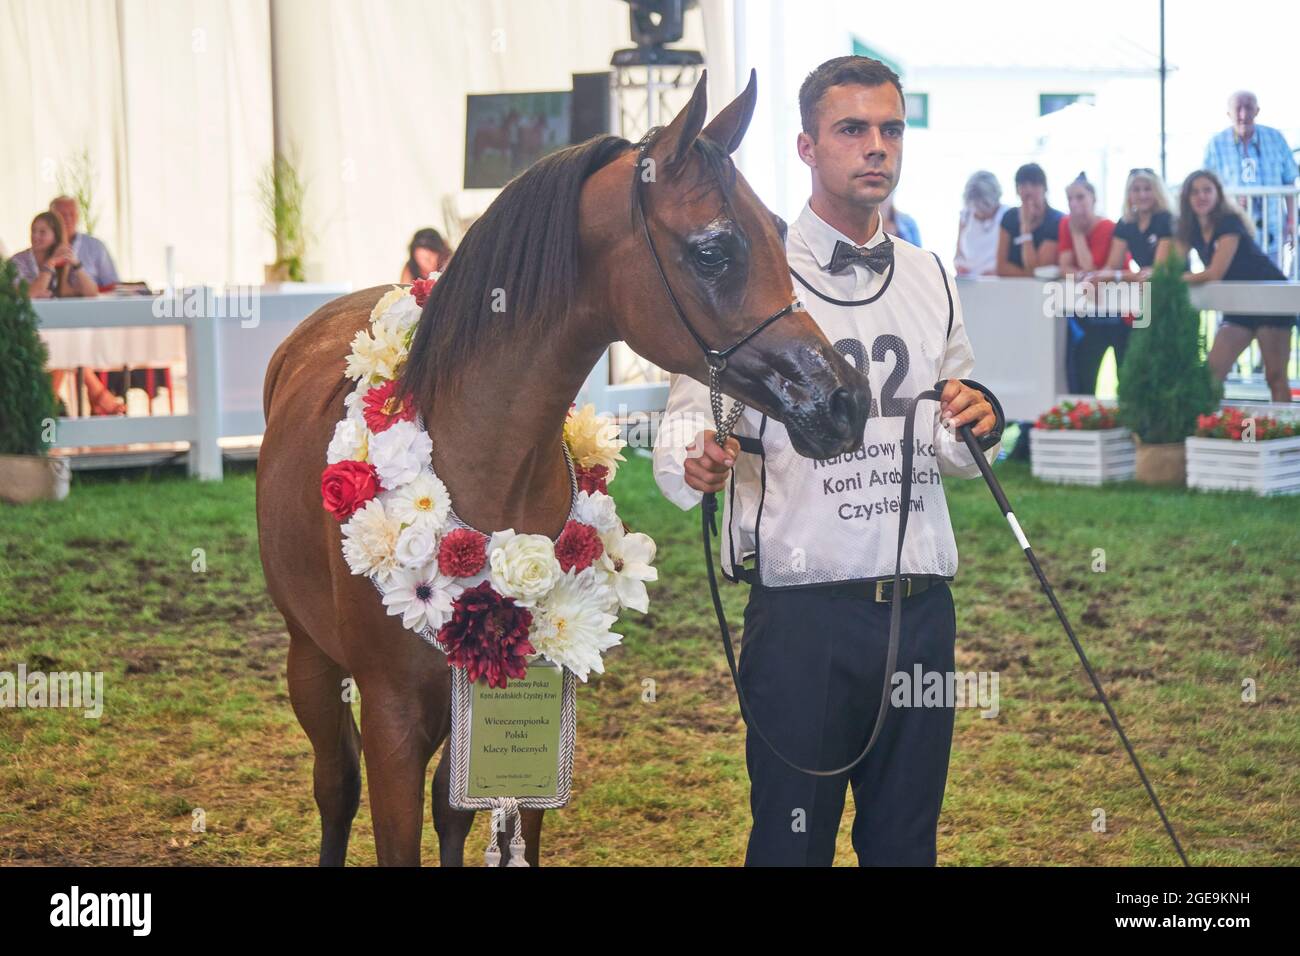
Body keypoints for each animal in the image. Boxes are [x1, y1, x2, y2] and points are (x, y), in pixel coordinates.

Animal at [255, 70, 870, 866]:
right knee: (336, 785)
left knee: (446, 812)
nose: (845, 399)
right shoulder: (392, 720)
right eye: (713, 251)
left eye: (777, 233)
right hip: (311, 661)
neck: (483, 461)